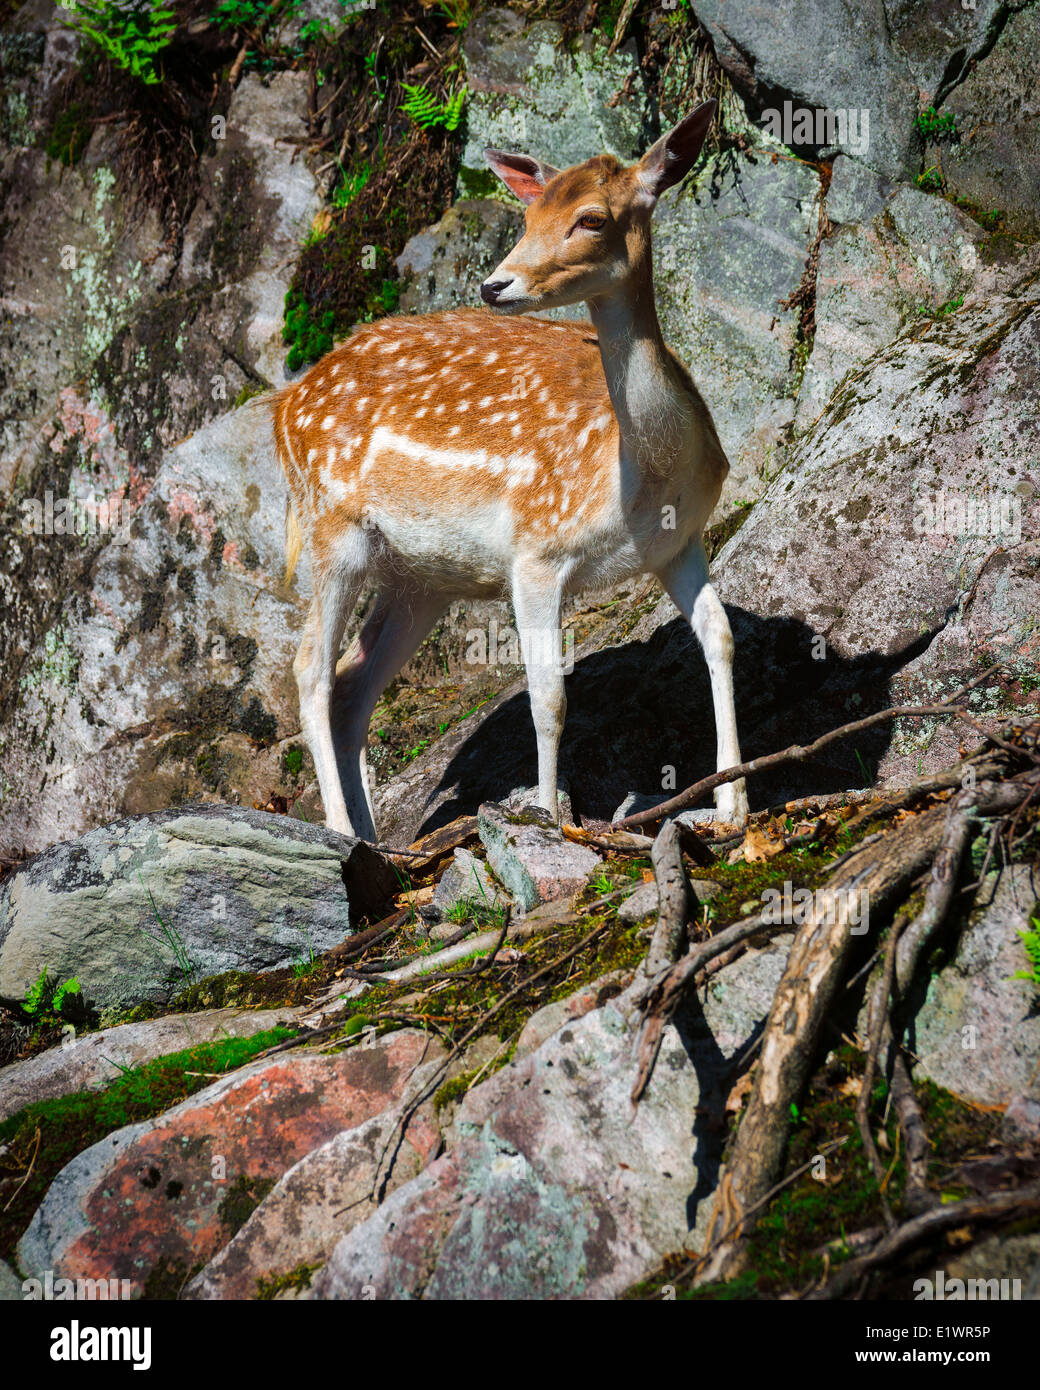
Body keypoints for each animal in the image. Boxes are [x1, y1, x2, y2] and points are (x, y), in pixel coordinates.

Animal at [262, 100, 749, 842]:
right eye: (528, 216)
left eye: (591, 217)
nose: (496, 283)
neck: (647, 473)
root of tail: (284, 404)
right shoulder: (536, 549)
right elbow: (548, 694)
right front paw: (549, 813)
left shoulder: (678, 543)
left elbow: (718, 637)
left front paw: (734, 804)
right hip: (329, 528)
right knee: (309, 669)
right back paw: (343, 833)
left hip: (420, 579)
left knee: (352, 682)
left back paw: (379, 840)